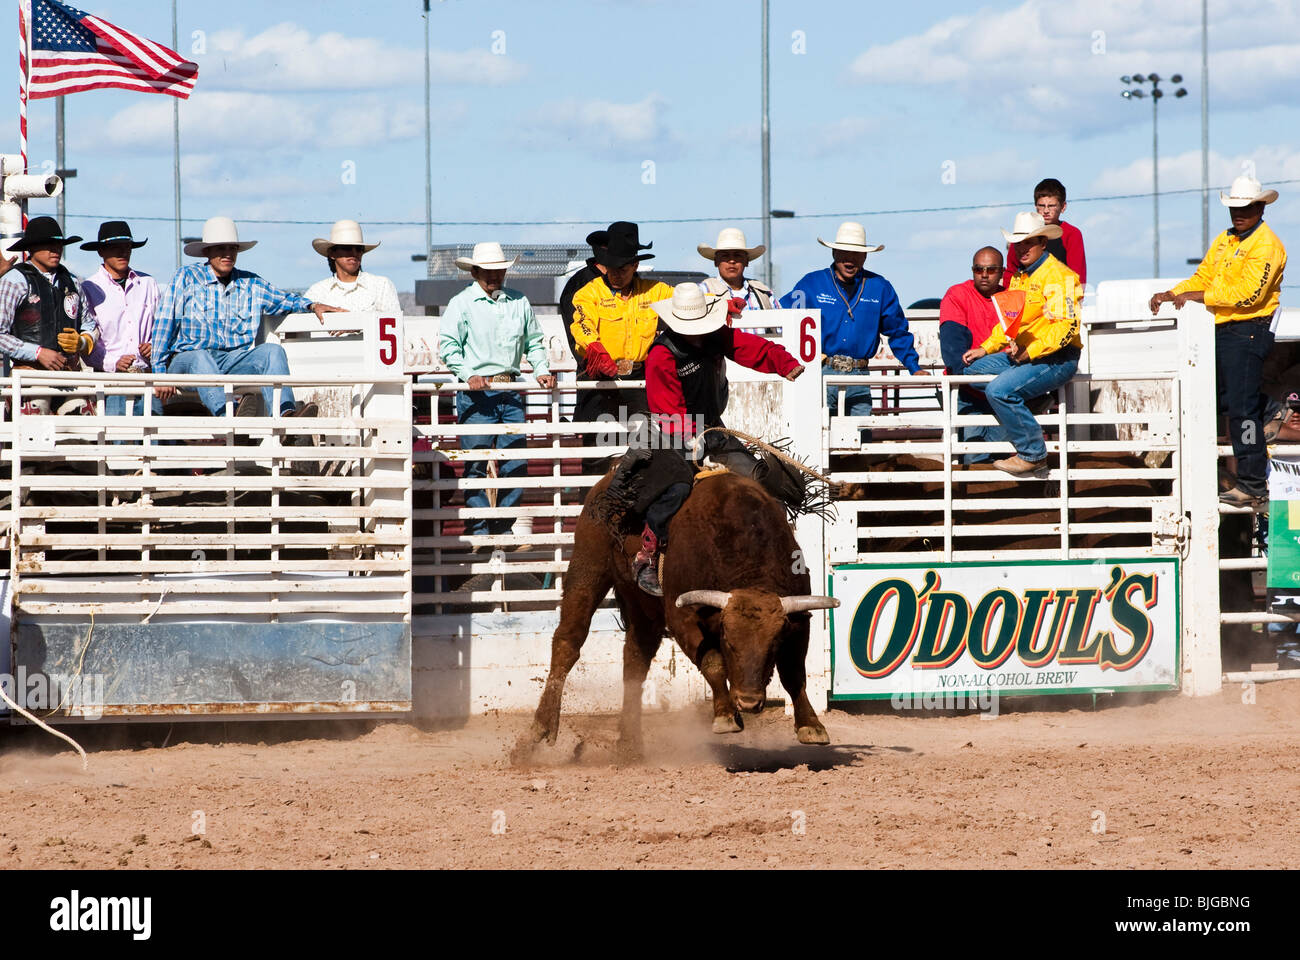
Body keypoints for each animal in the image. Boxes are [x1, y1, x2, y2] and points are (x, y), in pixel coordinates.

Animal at [512, 468, 838, 762]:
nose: (748, 701)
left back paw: (630, 745)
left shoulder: (799, 623)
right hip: (588, 563)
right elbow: (714, 663)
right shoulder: (682, 618)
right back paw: (537, 734)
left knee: (635, 659)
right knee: (568, 641)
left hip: (642, 606)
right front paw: (725, 716)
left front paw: (811, 726)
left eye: (773, 646)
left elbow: (794, 674)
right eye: (729, 643)